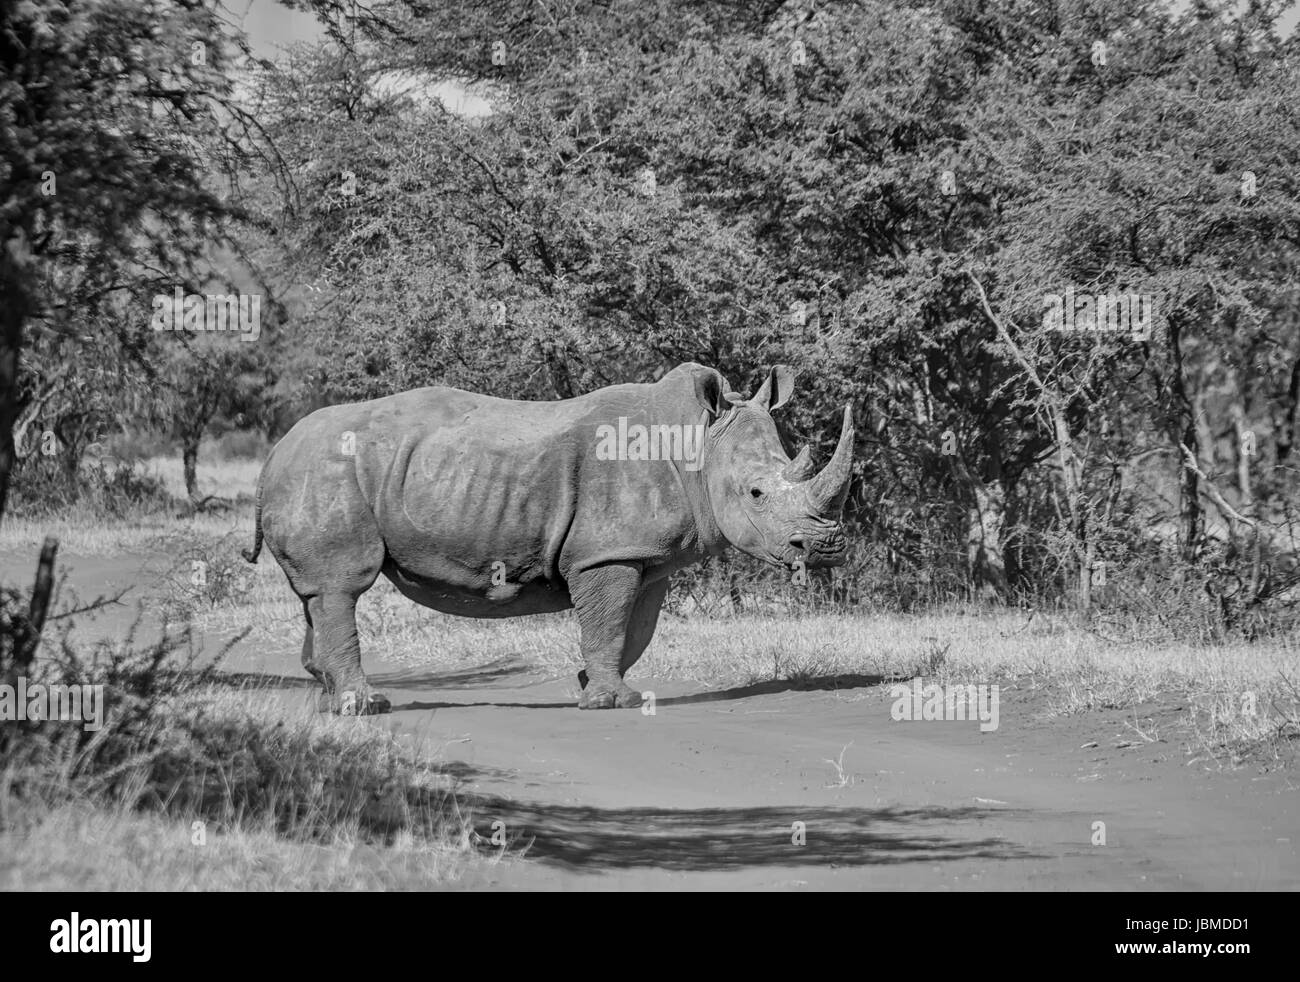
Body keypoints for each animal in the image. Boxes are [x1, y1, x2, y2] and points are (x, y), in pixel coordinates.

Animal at [243, 363, 854, 713]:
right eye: (756, 493)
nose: (825, 549)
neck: (698, 442)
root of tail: (274, 451)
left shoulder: (644, 556)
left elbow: (633, 630)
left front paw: (594, 686)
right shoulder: (606, 554)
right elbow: (610, 625)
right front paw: (612, 703)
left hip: (320, 471)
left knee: (319, 594)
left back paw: (328, 697)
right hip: (327, 471)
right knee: (343, 586)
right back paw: (367, 707)